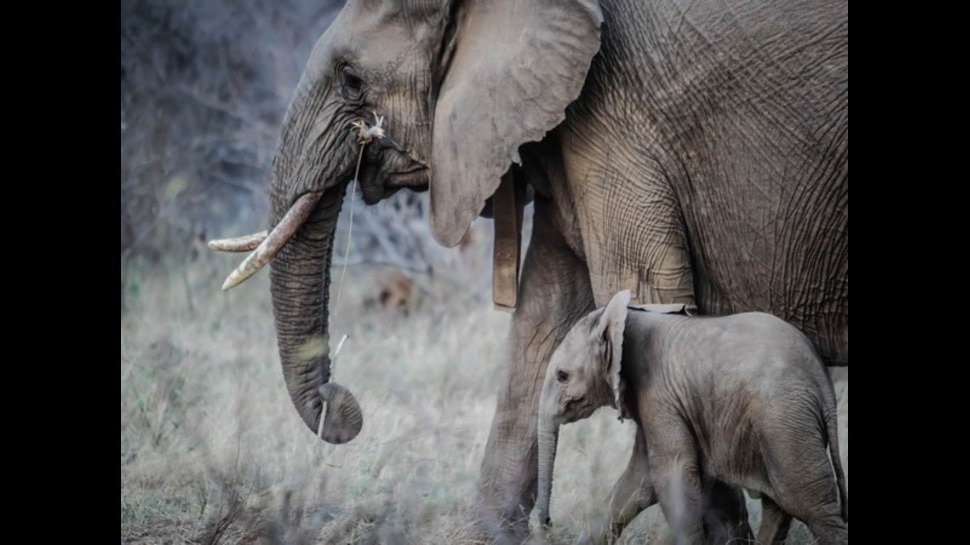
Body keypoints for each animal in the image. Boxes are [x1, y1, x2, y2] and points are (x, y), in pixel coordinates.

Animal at [536, 290, 848, 544]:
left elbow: (672, 476)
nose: (547, 523)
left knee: (812, 506)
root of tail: (822, 382)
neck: (625, 317)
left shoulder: (660, 395)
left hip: (784, 421)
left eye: (562, 376)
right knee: (779, 506)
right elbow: (636, 483)